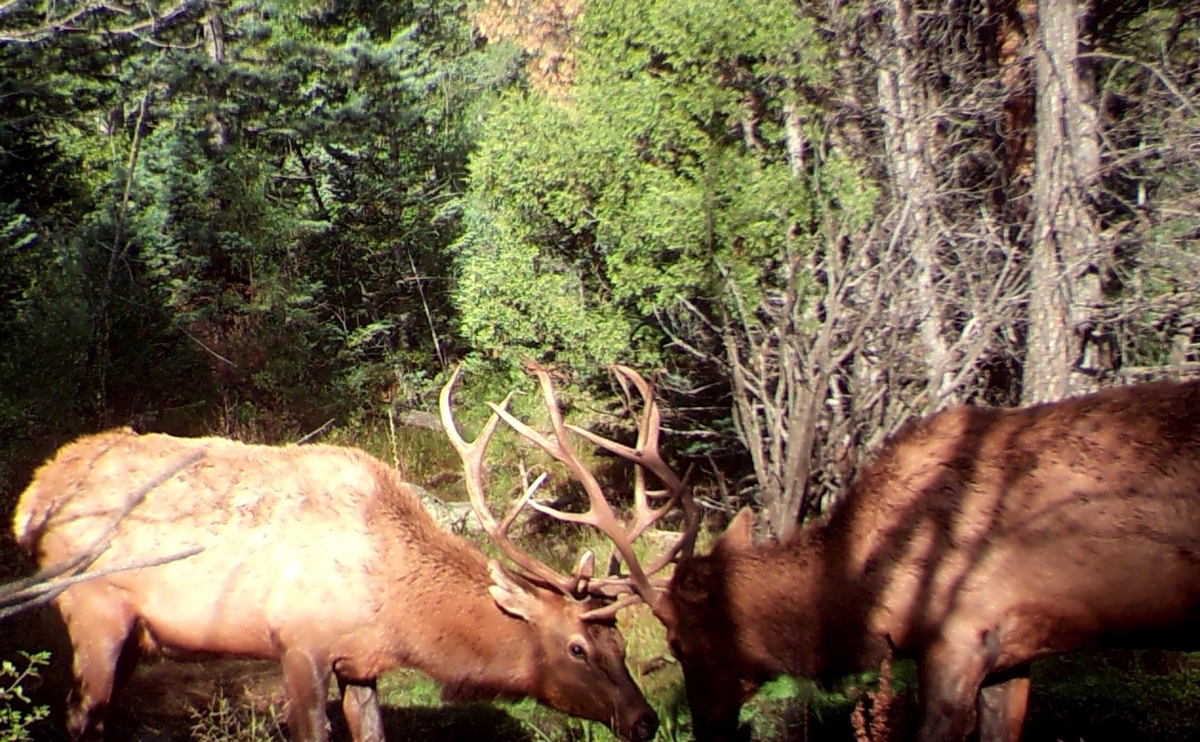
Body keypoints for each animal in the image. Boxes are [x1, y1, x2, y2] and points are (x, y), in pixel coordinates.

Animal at [9, 366, 676, 742]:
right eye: (577, 647)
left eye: (622, 643)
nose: (646, 721)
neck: (396, 604)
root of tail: (33, 498)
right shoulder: (298, 640)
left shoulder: (363, 662)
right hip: (92, 606)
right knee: (80, 715)